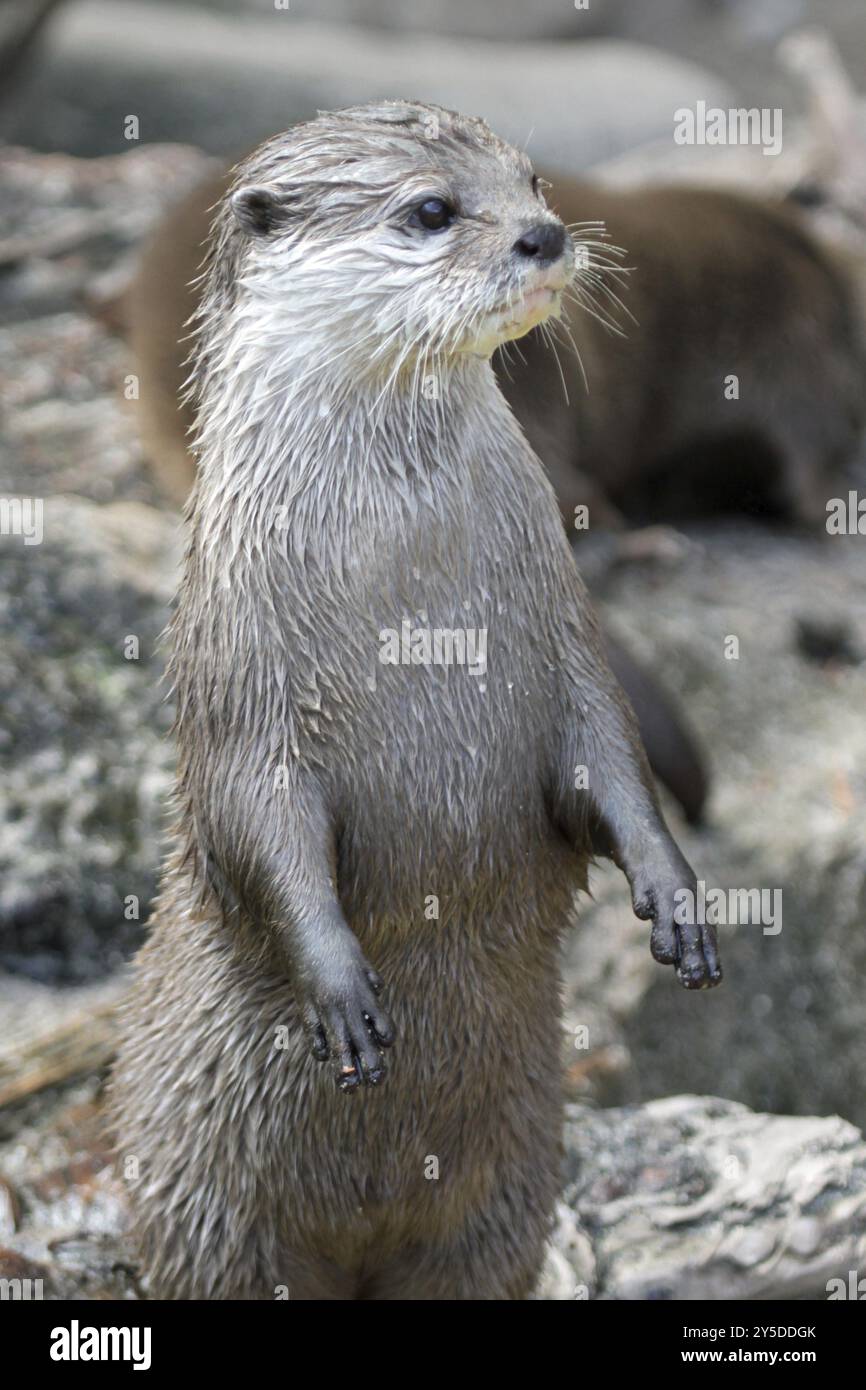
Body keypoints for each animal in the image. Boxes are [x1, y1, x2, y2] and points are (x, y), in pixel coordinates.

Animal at [110, 101, 721, 1302]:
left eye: (534, 182)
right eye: (432, 210)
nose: (543, 236)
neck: (411, 600)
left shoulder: (561, 636)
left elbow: (608, 752)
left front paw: (674, 894)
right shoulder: (241, 674)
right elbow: (257, 820)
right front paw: (341, 983)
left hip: (510, 1189)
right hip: (204, 1212)